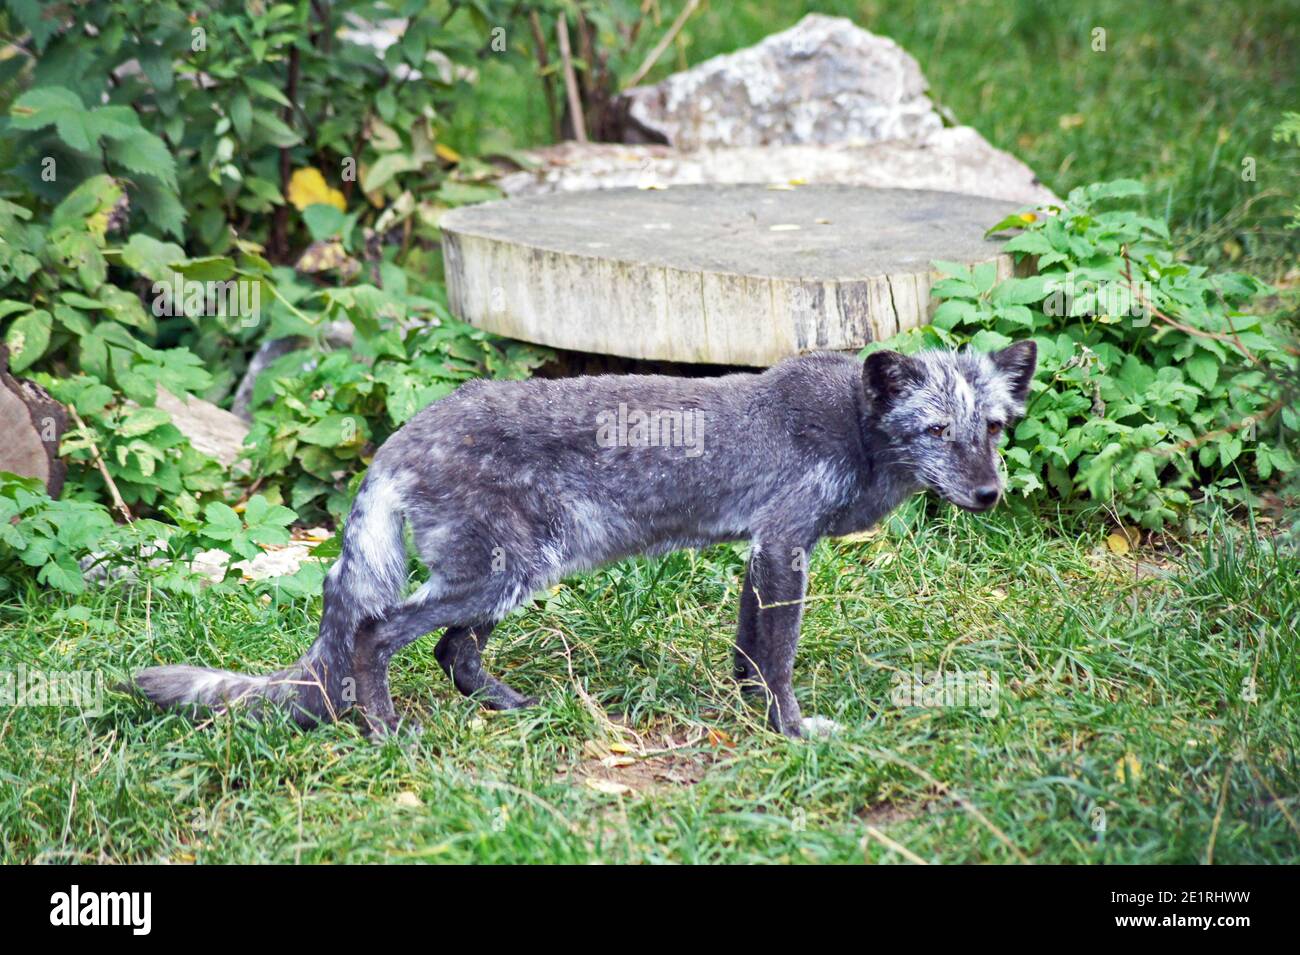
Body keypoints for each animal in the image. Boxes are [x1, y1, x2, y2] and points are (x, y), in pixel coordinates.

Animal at [133, 341, 1037, 738]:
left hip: (518, 571)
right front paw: (791, 732)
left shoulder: (762, 548)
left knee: (451, 653)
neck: (852, 424)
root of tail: (400, 437)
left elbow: (748, 651)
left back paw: (513, 709)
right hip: (503, 572)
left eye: (992, 428)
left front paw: (746, 711)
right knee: (374, 630)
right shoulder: (785, 544)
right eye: (935, 430)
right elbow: (779, 659)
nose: (989, 495)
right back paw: (388, 734)